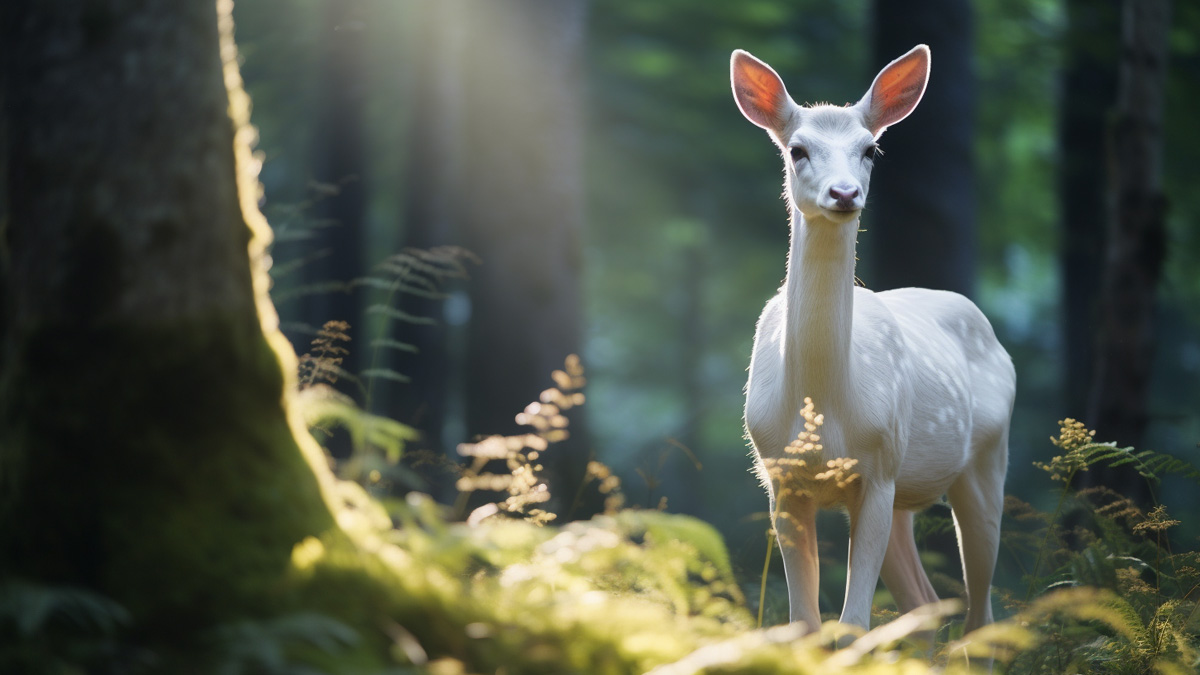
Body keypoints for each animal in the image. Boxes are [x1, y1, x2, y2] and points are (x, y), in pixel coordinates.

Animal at [732, 44, 1016, 649]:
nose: (844, 193)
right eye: (797, 149)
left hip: (983, 458)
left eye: (870, 149)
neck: (821, 404)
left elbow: (851, 627)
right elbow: (805, 624)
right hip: (905, 493)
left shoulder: (877, 469)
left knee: (980, 616)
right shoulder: (782, 479)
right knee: (926, 605)